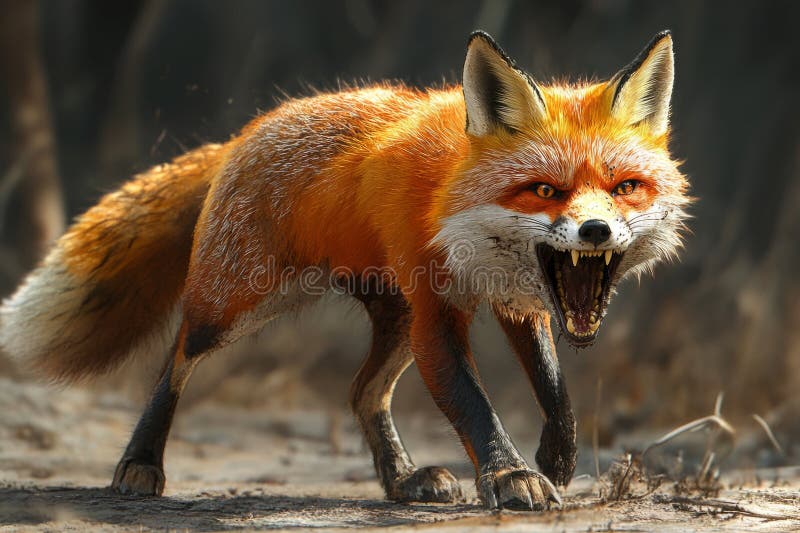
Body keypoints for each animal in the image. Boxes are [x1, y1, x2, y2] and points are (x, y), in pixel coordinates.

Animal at [0, 30, 689, 510]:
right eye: (544, 191)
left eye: (626, 188)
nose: (595, 232)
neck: (449, 198)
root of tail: (242, 135)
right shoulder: (436, 314)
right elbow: (474, 405)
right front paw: (512, 475)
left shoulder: (513, 299)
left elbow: (555, 390)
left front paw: (556, 459)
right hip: (238, 304)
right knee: (177, 356)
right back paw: (141, 462)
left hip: (392, 318)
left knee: (362, 391)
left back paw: (402, 478)